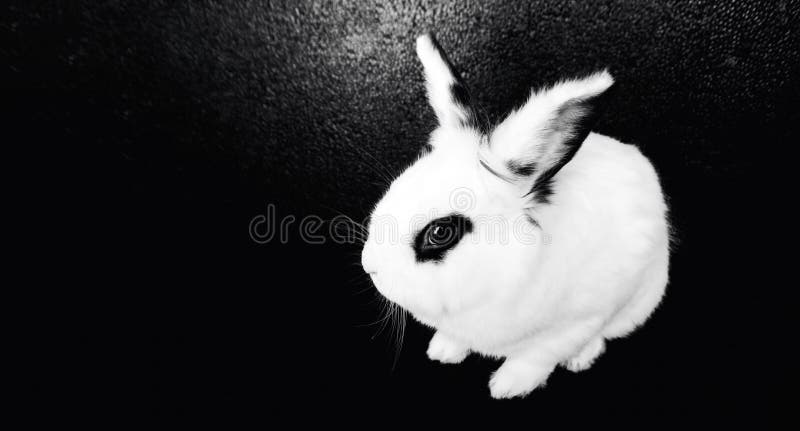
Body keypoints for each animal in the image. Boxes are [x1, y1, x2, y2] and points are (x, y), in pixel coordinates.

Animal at [361, 33, 671, 399]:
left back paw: (581, 359)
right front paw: (443, 350)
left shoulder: (575, 324)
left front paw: (507, 386)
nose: (369, 266)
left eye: (440, 232)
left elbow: (537, 356)